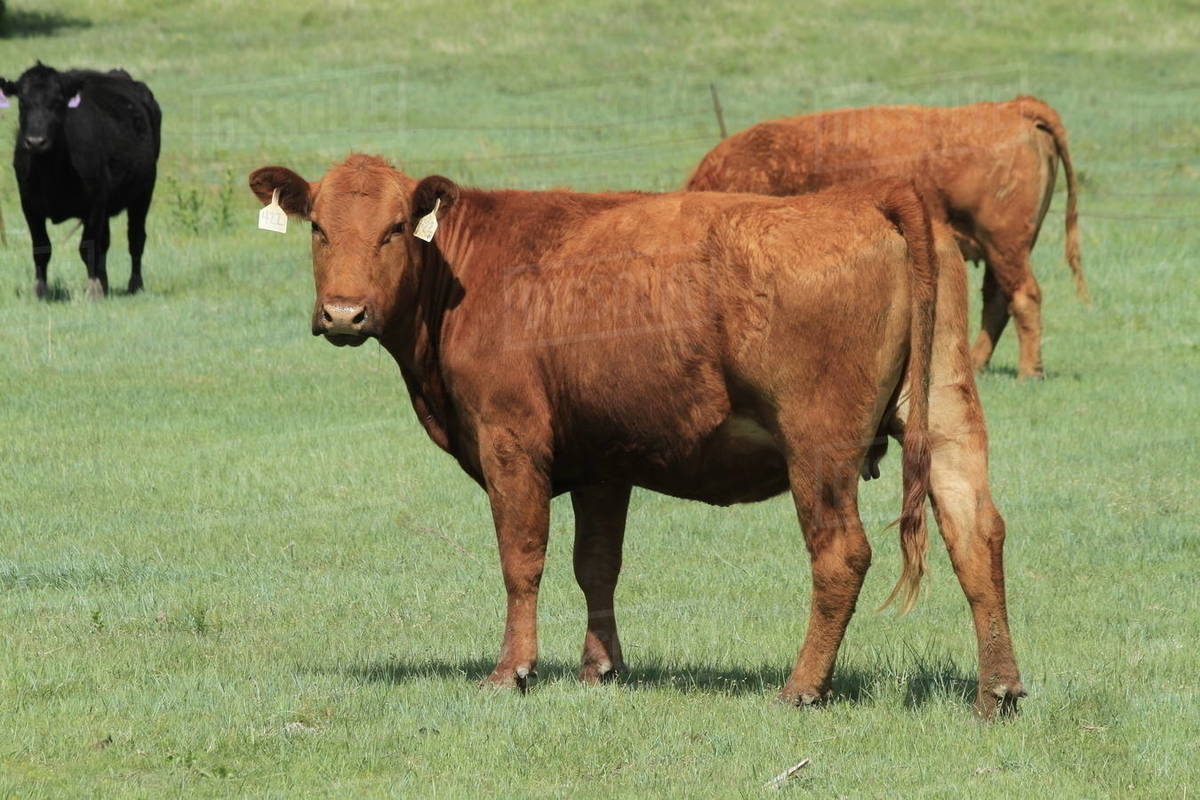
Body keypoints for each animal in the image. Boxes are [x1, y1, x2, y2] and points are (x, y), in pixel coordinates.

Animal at [0, 62, 160, 299]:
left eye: (58, 102)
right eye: (22, 102)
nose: (36, 141)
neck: (50, 172)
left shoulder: (94, 203)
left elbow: (87, 246)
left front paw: (93, 290)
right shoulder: (29, 205)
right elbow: (41, 247)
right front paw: (40, 290)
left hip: (143, 191)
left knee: (136, 238)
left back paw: (135, 285)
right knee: (105, 242)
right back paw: (105, 282)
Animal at [248, 154, 1024, 716]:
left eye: (394, 228)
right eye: (318, 228)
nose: (343, 314)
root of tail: (866, 196)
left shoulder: (510, 442)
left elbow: (521, 559)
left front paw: (512, 670)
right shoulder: (603, 463)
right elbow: (597, 564)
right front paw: (601, 667)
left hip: (819, 445)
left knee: (841, 554)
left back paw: (802, 687)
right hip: (946, 414)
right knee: (975, 532)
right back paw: (998, 689)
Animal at [687, 95, 1088, 379]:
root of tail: (1014, 108)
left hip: (1005, 244)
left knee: (1023, 296)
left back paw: (1029, 373)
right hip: (1000, 250)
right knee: (998, 300)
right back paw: (976, 364)